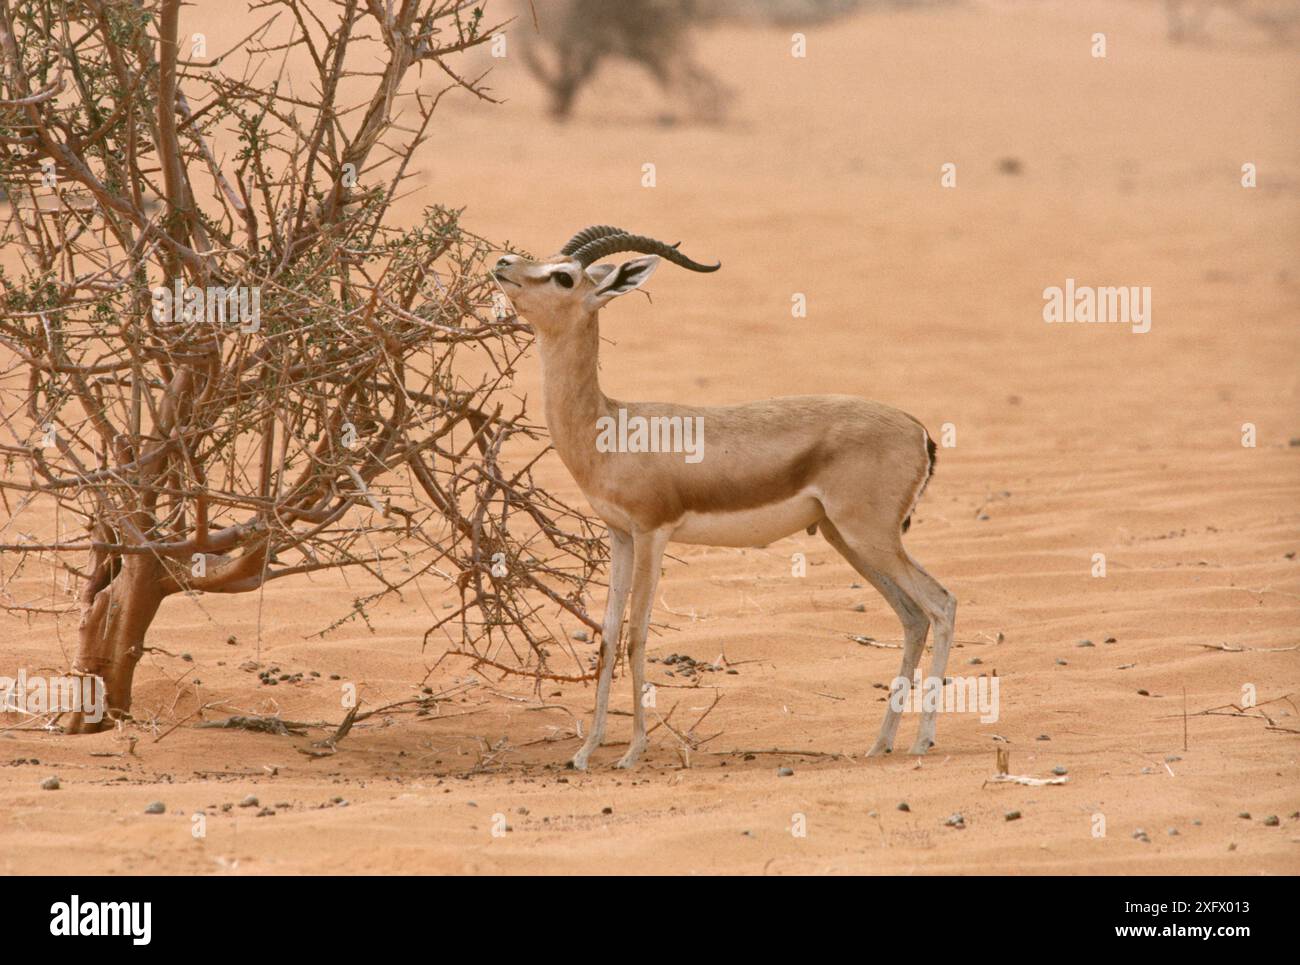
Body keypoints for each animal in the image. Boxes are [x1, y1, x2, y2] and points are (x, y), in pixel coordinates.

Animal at [492, 226, 956, 769]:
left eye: (563, 276)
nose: (503, 262)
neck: (609, 427)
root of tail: (918, 430)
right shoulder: (620, 535)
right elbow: (607, 637)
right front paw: (586, 753)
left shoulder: (652, 533)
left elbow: (637, 634)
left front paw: (632, 752)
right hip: (846, 538)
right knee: (912, 616)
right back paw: (880, 743)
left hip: (871, 536)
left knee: (940, 603)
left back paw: (922, 741)